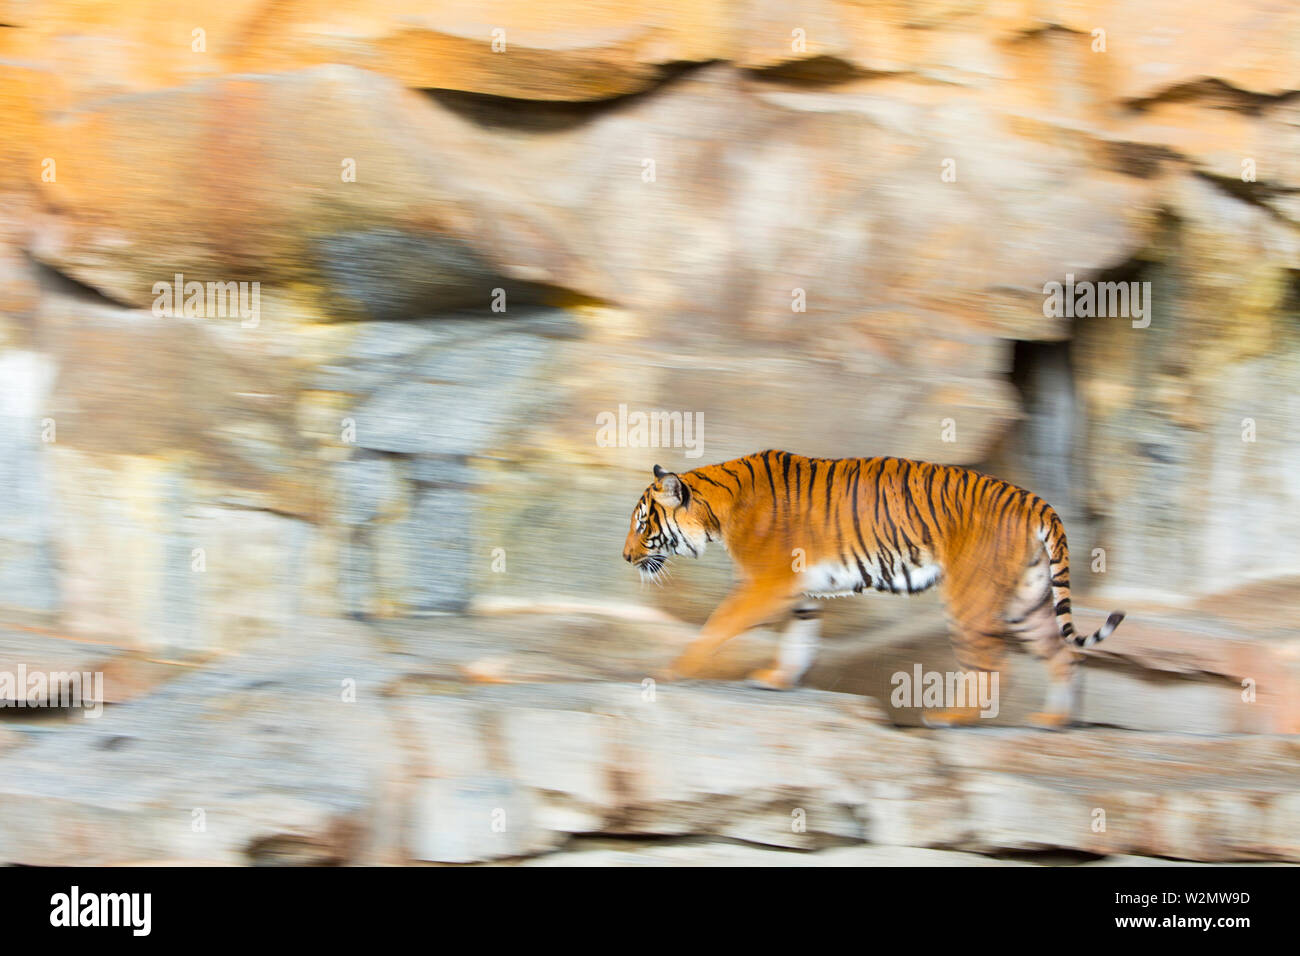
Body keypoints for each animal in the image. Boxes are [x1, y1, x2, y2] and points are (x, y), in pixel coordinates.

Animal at [622, 451, 1124, 729]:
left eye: (643, 525)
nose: (625, 557)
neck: (718, 509)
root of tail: (1034, 499)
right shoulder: (800, 592)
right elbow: (799, 640)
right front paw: (778, 679)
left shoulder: (764, 585)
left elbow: (716, 625)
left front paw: (670, 672)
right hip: (1027, 600)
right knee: (1064, 656)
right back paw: (1053, 720)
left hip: (971, 597)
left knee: (994, 666)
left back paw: (951, 718)